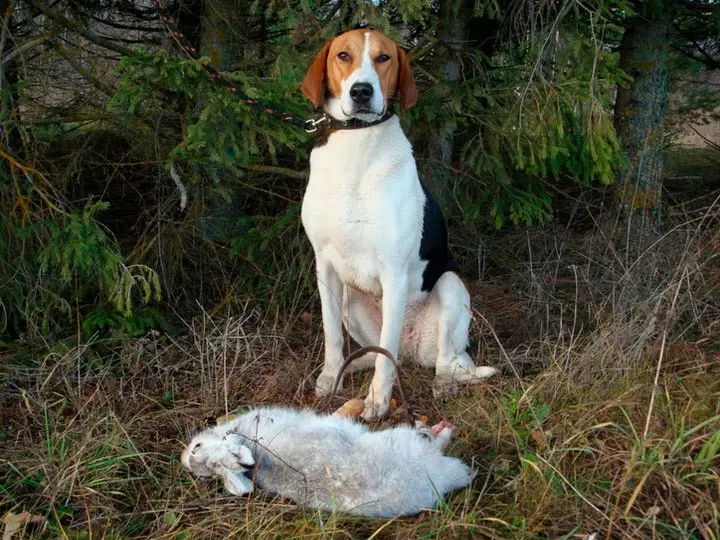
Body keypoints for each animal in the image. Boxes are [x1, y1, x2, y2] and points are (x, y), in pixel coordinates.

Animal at [298, 28, 496, 422]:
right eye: (343, 55)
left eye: (383, 58)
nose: (361, 92)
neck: (356, 145)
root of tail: (412, 351)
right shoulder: (325, 267)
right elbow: (331, 336)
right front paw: (331, 377)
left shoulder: (393, 273)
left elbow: (384, 361)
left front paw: (377, 400)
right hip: (352, 300)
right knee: (380, 352)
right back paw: (352, 365)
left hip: (451, 288)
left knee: (440, 360)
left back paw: (443, 383)